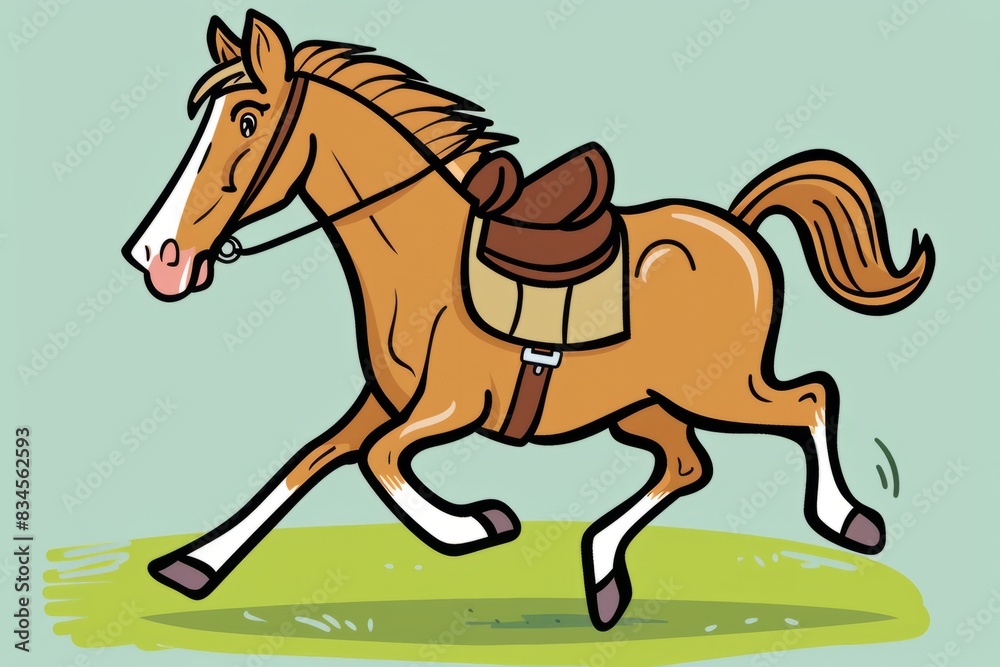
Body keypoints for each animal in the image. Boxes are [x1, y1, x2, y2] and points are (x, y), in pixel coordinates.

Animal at [122, 10, 934, 631]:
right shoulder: (383, 400)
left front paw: (477, 524)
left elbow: (381, 462)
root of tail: (736, 225)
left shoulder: (448, 406)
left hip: (716, 386)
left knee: (811, 397)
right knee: (688, 463)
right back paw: (602, 578)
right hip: (644, 407)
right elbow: (307, 462)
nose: (155, 253)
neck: (421, 253)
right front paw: (194, 563)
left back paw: (847, 519)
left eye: (247, 119)